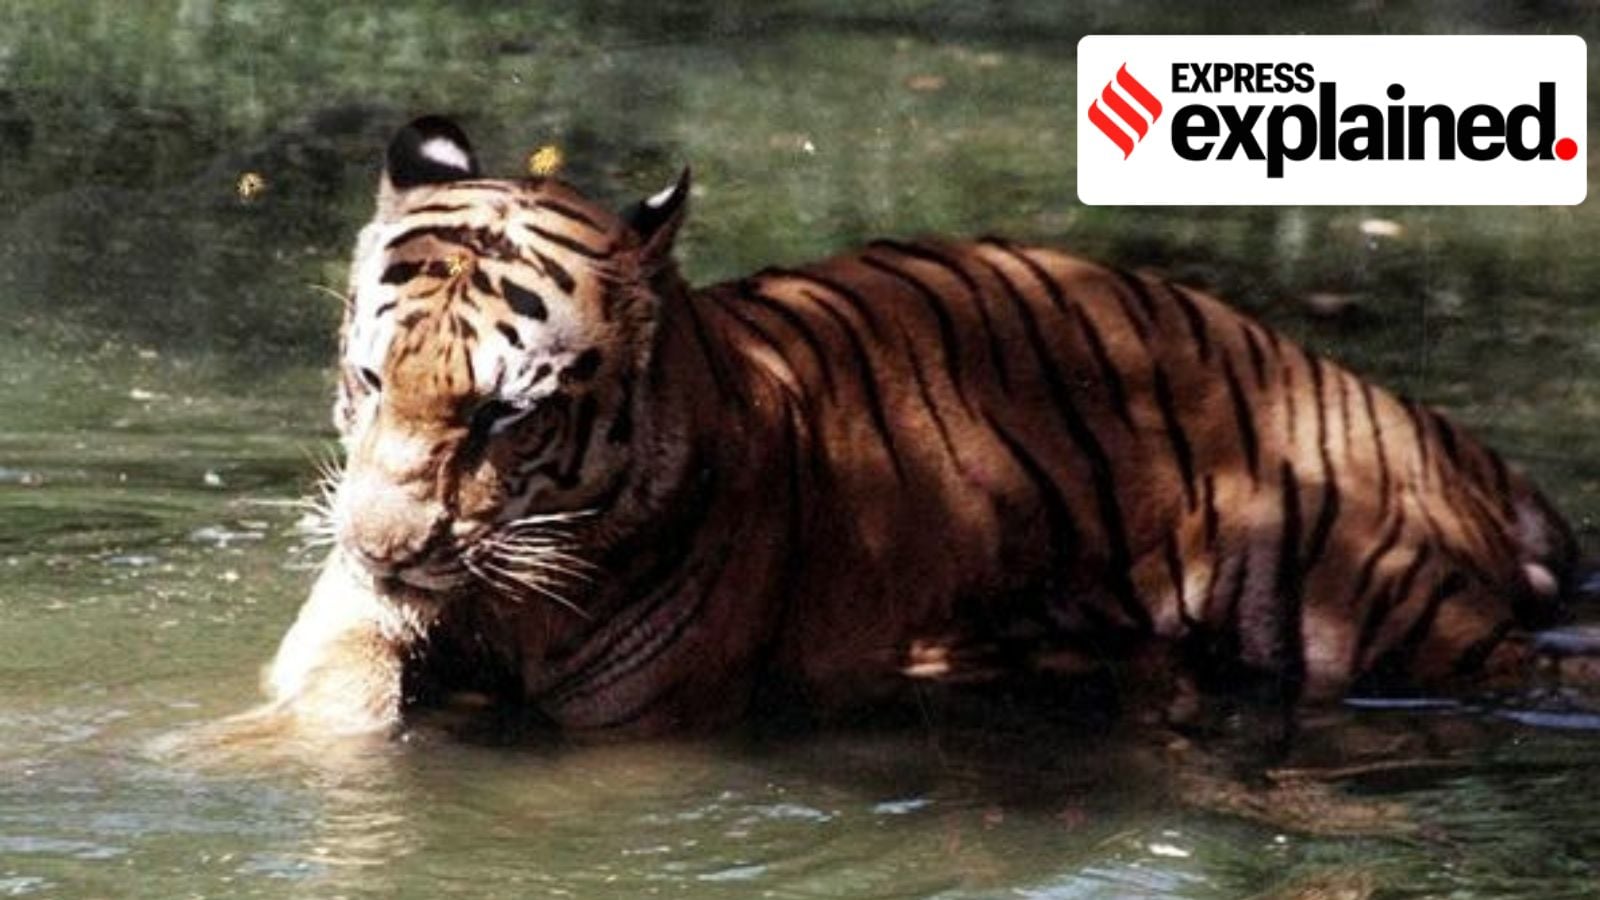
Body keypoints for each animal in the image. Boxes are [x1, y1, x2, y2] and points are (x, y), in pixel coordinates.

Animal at [253, 115, 1580, 739]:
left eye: (504, 415)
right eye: (369, 382)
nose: (380, 549)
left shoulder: (634, 723)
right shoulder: (343, 644)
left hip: (1367, 614)